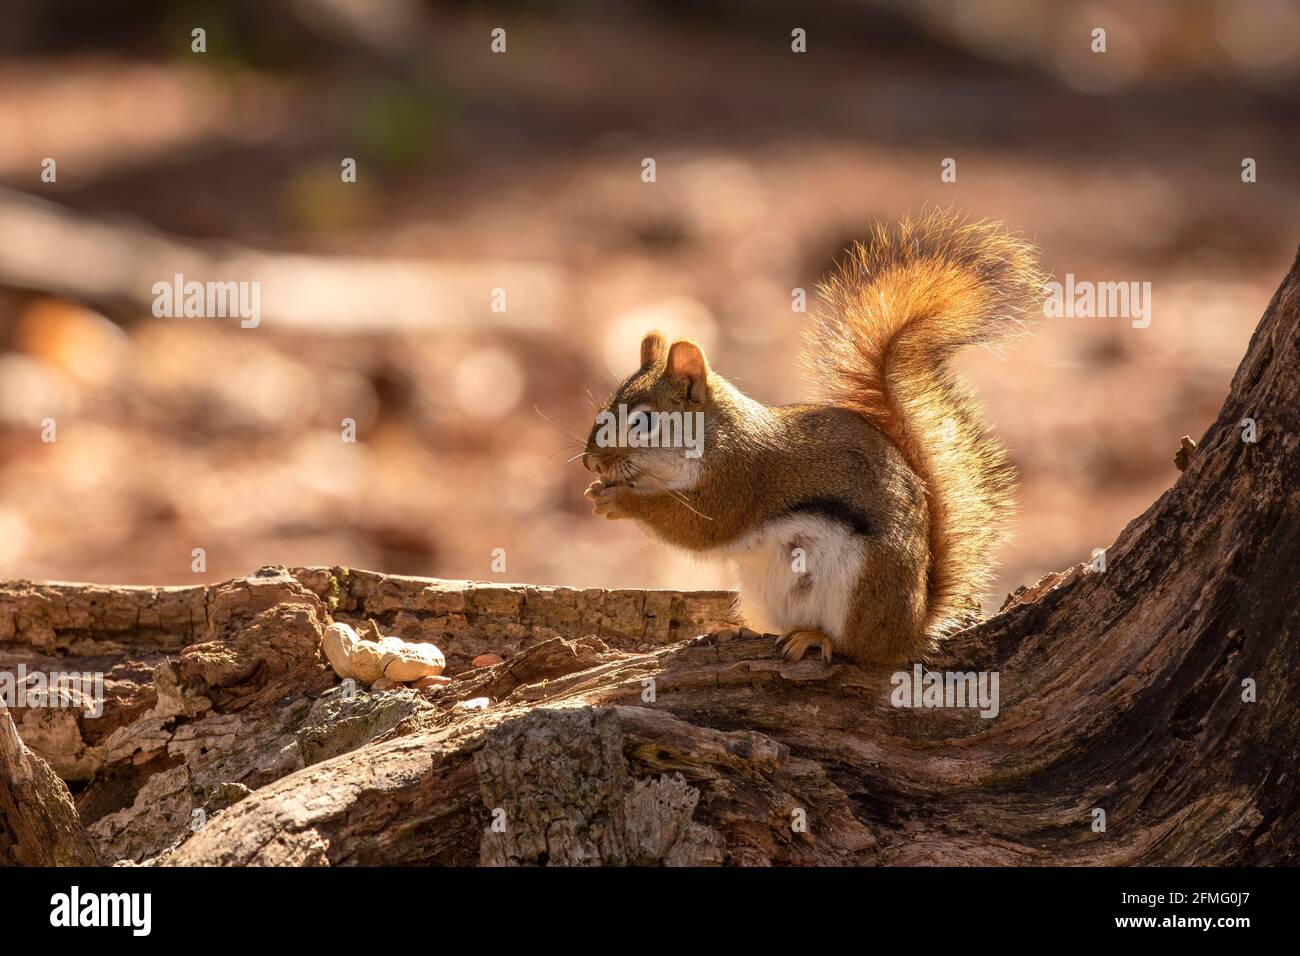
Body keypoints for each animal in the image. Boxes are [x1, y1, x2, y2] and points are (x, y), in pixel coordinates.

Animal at [582, 209, 1045, 666]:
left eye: (643, 422)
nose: (591, 462)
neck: (713, 437)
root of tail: (911, 632)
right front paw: (597, 491)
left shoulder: (739, 479)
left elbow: (698, 526)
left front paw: (619, 501)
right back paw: (737, 629)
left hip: (860, 587)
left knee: (860, 649)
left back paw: (816, 639)